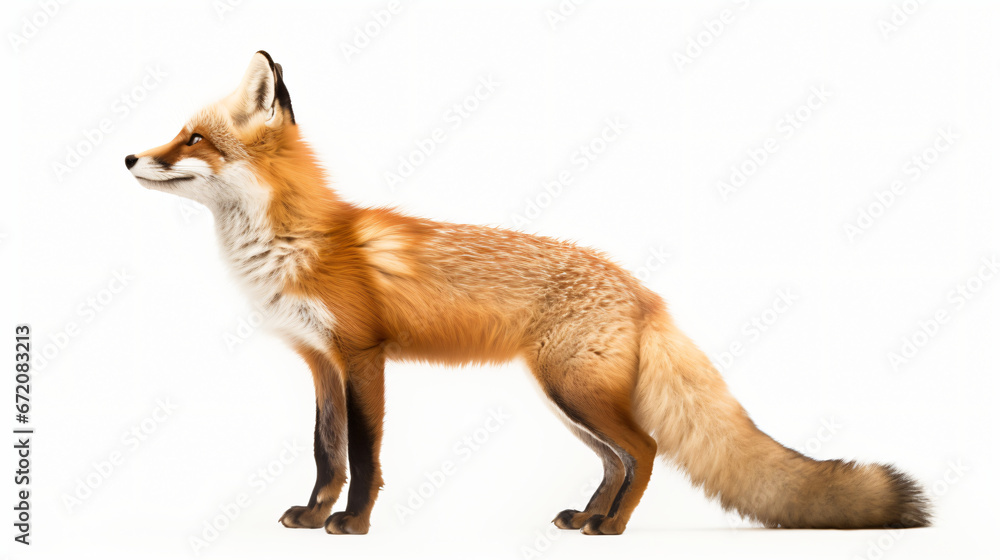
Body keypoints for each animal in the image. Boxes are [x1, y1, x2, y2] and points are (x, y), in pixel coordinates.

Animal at [125, 51, 929, 535]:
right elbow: (327, 451)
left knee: (646, 449)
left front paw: (352, 526)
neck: (297, 240)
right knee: (618, 460)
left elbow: (365, 454)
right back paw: (589, 520)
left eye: (193, 139)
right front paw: (314, 514)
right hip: (565, 397)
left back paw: (614, 529)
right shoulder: (320, 361)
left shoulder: (362, 355)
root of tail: (642, 289)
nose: (129, 156)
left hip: (574, 390)